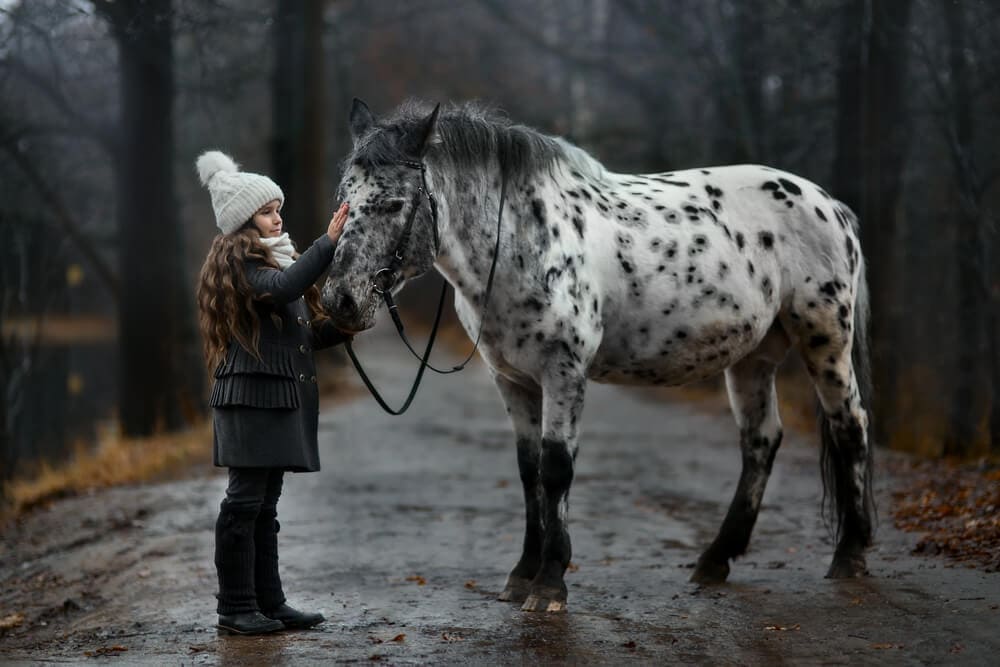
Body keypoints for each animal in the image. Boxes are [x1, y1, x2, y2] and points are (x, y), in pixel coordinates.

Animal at [322, 98, 874, 613]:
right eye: (344, 201)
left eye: (395, 203)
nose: (340, 300)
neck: (525, 239)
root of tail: (831, 206)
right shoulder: (513, 380)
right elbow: (528, 470)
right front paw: (522, 573)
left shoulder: (564, 373)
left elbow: (556, 468)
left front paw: (549, 583)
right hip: (752, 357)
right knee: (760, 441)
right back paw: (715, 560)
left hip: (826, 338)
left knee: (850, 425)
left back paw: (849, 555)